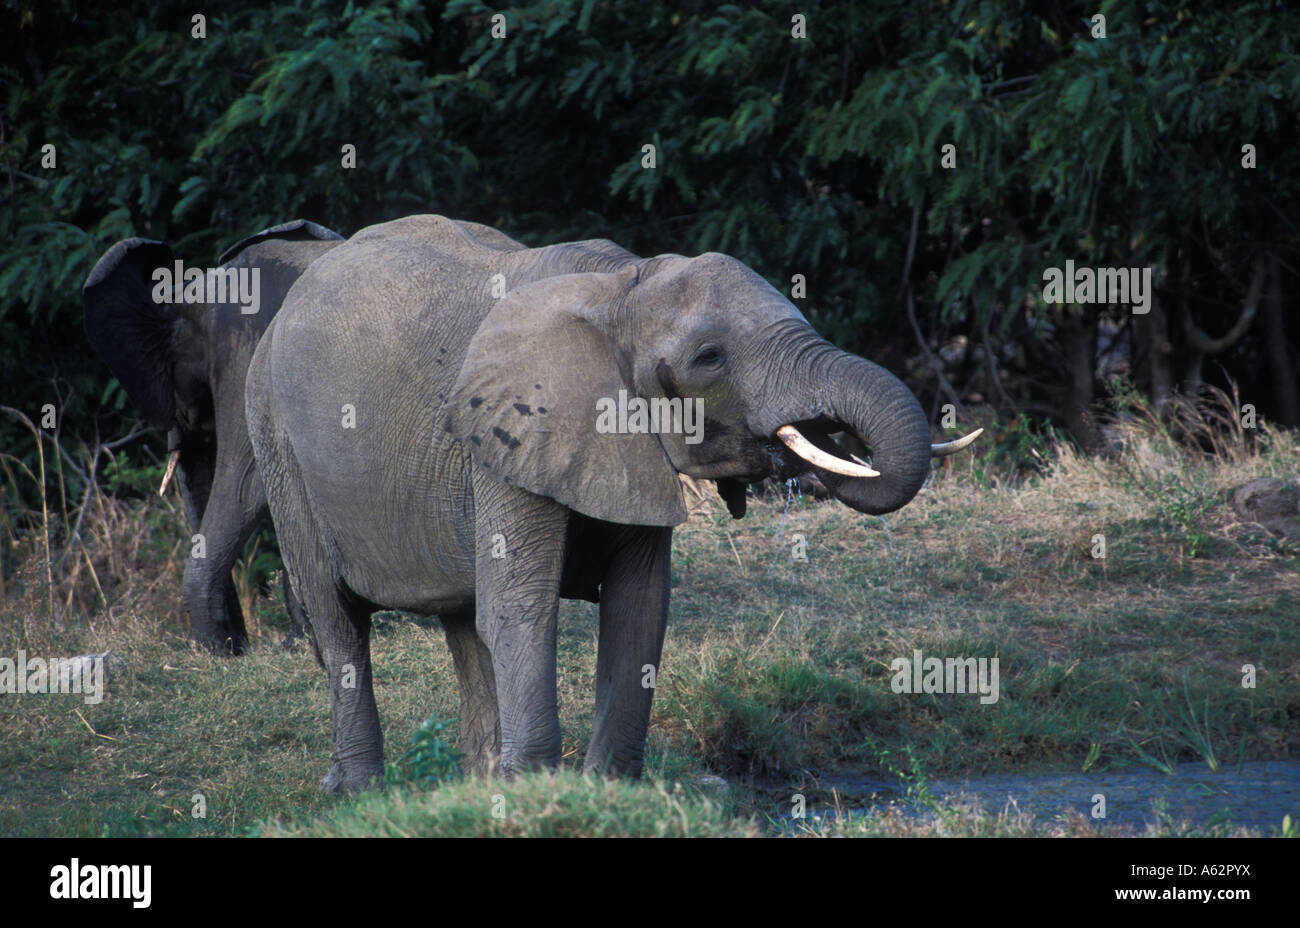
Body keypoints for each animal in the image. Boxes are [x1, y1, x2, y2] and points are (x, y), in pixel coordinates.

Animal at [245, 214, 980, 790]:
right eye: (709, 357)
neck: (622, 284)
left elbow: (639, 610)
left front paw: (602, 792)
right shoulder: (509, 433)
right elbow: (523, 608)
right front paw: (539, 792)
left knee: (462, 622)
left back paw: (476, 787)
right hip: (275, 440)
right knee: (339, 620)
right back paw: (358, 791)